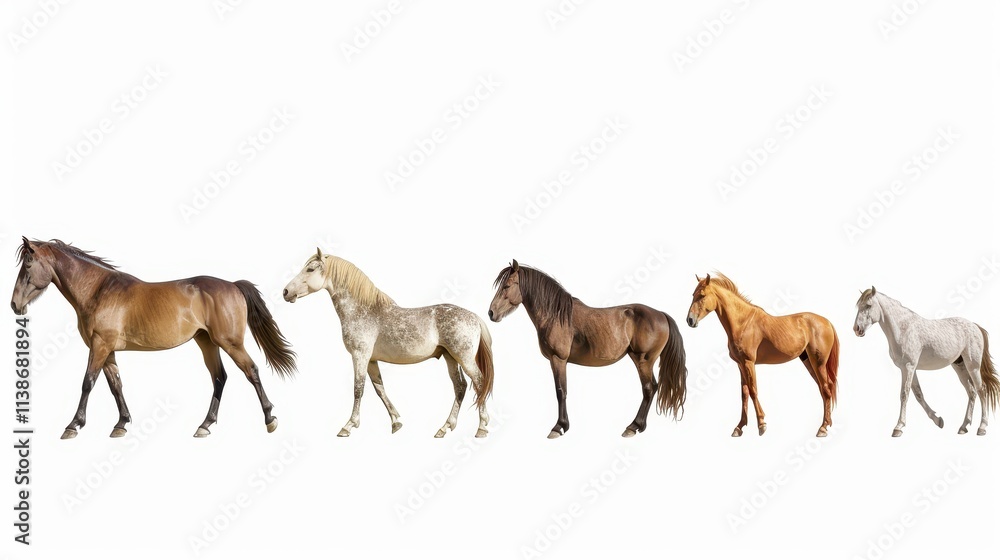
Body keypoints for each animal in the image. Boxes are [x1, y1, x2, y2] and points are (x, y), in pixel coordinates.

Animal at [9, 238, 296, 439]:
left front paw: (73, 425)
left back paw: (270, 419)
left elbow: (87, 383)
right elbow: (115, 385)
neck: (99, 291)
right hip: (206, 342)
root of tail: (233, 285)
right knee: (219, 378)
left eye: (28, 265)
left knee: (251, 371)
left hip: (230, 343)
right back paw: (204, 425)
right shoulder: (107, 349)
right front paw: (121, 424)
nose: (14, 305)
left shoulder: (100, 345)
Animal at [282, 249, 494, 438]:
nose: (285, 292)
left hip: (464, 358)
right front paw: (395, 422)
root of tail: (475, 317)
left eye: (310, 269)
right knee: (460, 387)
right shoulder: (371, 360)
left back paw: (481, 428)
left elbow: (358, 389)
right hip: (450, 357)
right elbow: (379, 389)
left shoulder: (360, 356)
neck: (362, 310)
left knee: (479, 382)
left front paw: (349, 425)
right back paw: (444, 428)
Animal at [488, 260, 687, 439]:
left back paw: (633, 427)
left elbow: (560, 391)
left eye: (506, 286)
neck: (556, 316)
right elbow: (562, 391)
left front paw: (559, 427)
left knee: (648, 388)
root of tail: (661, 314)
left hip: (643, 360)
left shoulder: (558, 359)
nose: (491, 313)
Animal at [686, 273, 839, 437]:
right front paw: (739, 427)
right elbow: (744, 394)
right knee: (824, 389)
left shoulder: (748, 362)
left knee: (826, 390)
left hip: (819, 363)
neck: (743, 323)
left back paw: (823, 428)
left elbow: (753, 391)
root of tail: (827, 322)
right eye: (693, 295)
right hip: (808, 361)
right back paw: (827, 423)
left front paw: (761, 424)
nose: (690, 320)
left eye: (702, 295)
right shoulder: (740, 364)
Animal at [854, 287, 999, 436]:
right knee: (972, 392)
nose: (857, 329)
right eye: (858, 306)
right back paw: (963, 427)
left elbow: (904, 394)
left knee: (981, 390)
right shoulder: (909, 368)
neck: (903, 329)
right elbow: (918, 394)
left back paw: (982, 427)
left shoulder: (908, 367)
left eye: (868, 305)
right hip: (960, 366)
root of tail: (975, 326)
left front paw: (898, 427)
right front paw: (938, 420)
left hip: (973, 366)